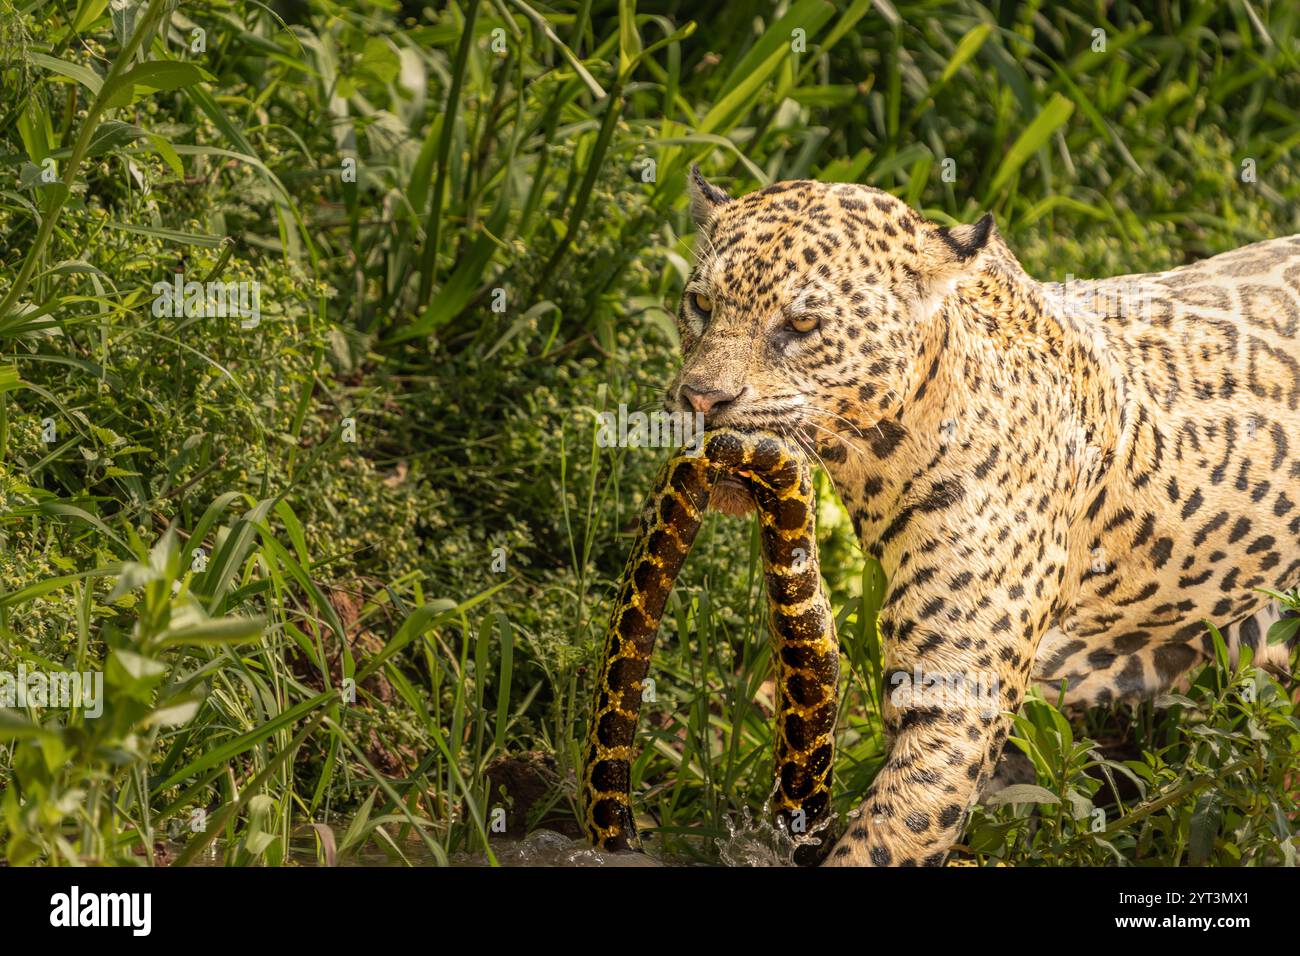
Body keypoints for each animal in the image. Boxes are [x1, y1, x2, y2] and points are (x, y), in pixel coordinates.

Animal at [664, 165, 1300, 867]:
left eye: (802, 325)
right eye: (701, 305)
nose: (701, 399)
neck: (882, 461)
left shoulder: (954, 710)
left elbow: (883, 840)